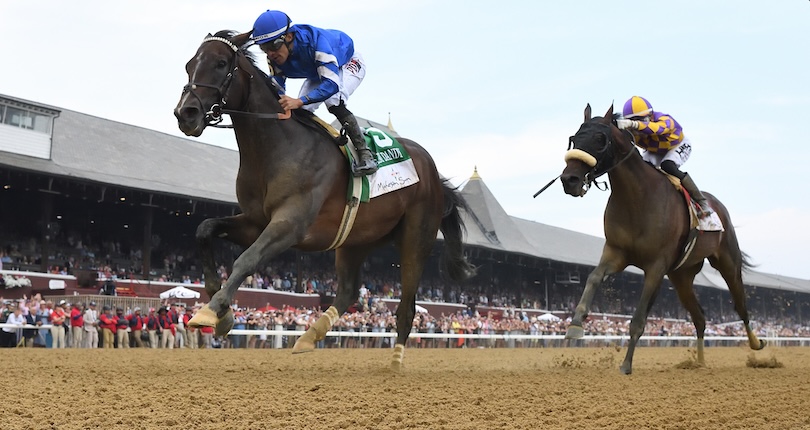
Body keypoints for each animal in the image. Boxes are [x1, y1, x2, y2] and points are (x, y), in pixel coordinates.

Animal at [173, 30, 476, 369]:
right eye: (189, 65)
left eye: (221, 63)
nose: (186, 114)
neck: (277, 148)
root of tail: (432, 171)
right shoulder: (255, 221)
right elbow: (205, 230)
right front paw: (221, 312)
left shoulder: (290, 224)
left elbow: (247, 259)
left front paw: (212, 309)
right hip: (355, 240)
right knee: (348, 291)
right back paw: (309, 336)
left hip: (416, 237)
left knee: (407, 306)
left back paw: (395, 362)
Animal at [559, 104, 765, 375]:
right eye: (574, 138)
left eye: (600, 139)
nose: (569, 180)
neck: (637, 199)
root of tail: (718, 205)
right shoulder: (616, 252)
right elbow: (593, 277)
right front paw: (575, 324)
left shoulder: (656, 266)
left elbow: (638, 319)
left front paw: (626, 365)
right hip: (682, 276)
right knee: (700, 318)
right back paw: (699, 363)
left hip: (728, 262)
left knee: (740, 306)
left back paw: (756, 345)